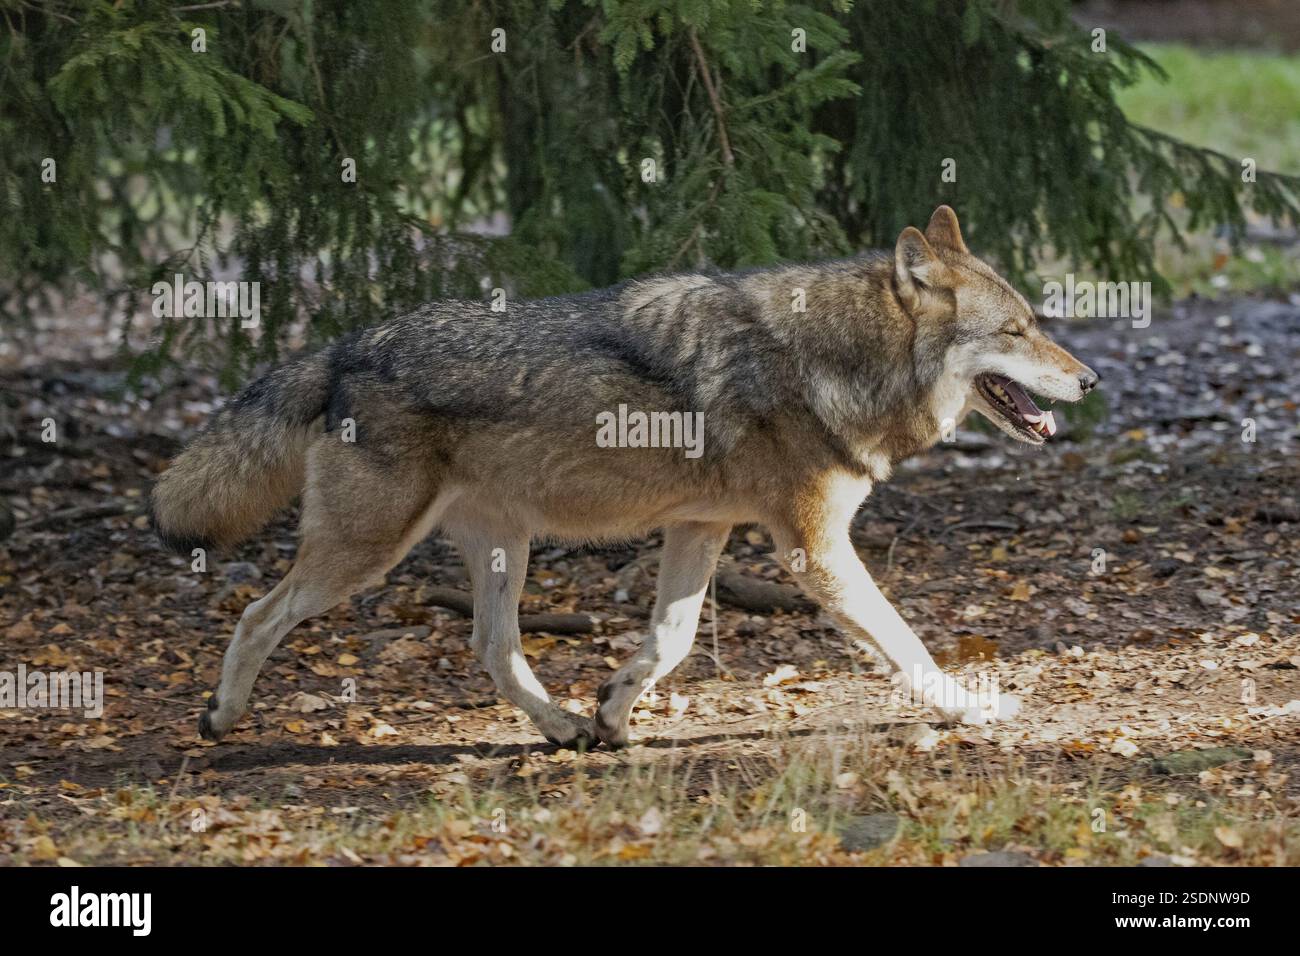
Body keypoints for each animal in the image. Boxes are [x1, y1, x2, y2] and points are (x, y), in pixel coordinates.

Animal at [151, 206, 1098, 749]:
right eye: (1016, 330)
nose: (1089, 380)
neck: (833, 358)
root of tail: (346, 345)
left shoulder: (701, 526)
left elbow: (669, 642)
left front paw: (611, 710)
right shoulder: (813, 549)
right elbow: (906, 643)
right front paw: (971, 708)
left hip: (503, 546)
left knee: (493, 649)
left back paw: (566, 728)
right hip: (367, 552)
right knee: (257, 615)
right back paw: (221, 718)